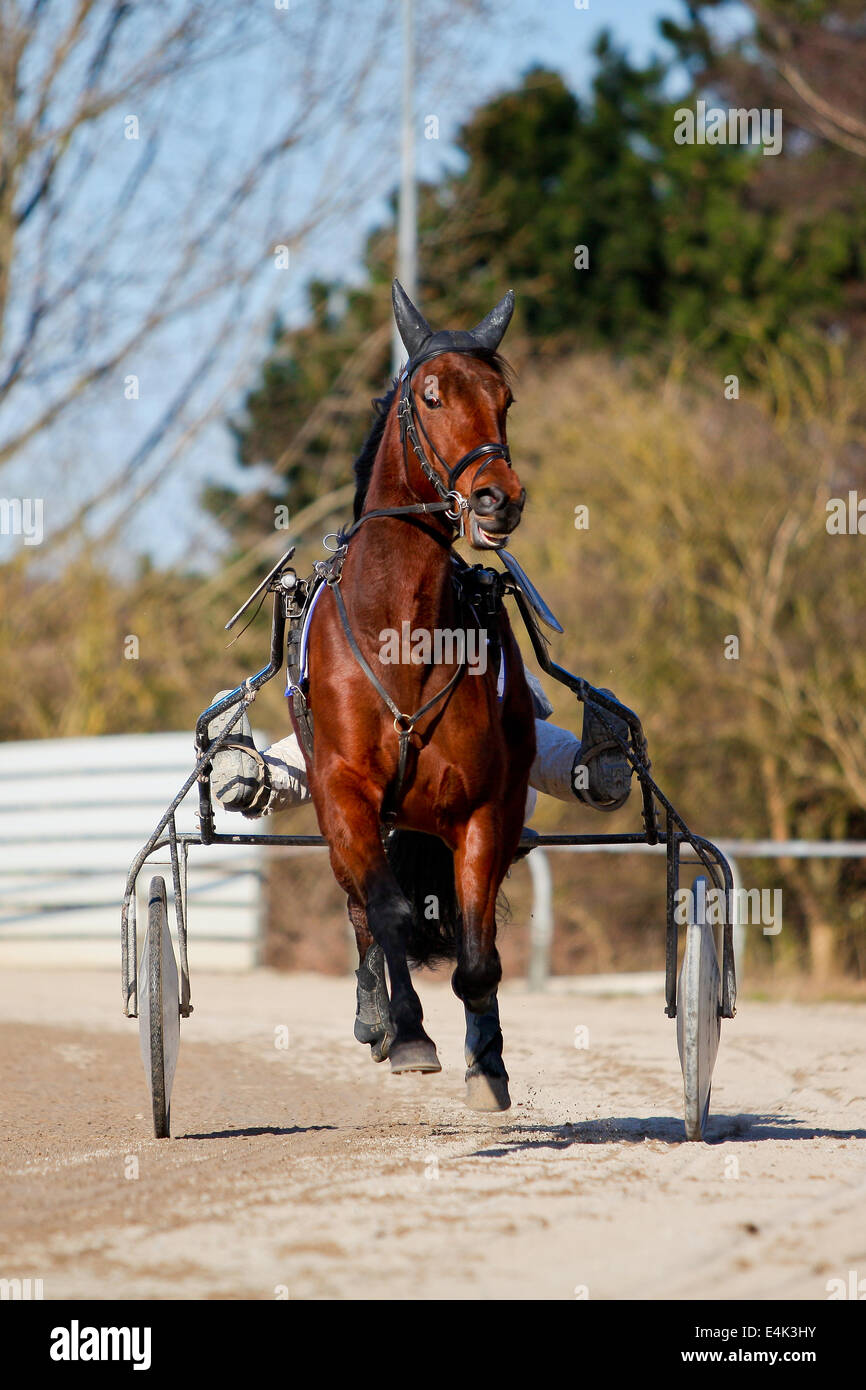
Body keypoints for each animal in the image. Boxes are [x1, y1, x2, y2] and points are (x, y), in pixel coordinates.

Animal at [300, 280, 536, 1111]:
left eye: (505, 398)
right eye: (431, 395)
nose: (498, 499)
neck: (398, 631)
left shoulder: (483, 804)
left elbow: (477, 946)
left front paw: (488, 1060)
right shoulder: (343, 791)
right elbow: (389, 912)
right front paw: (404, 1033)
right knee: (362, 908)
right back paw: (377, 1016)